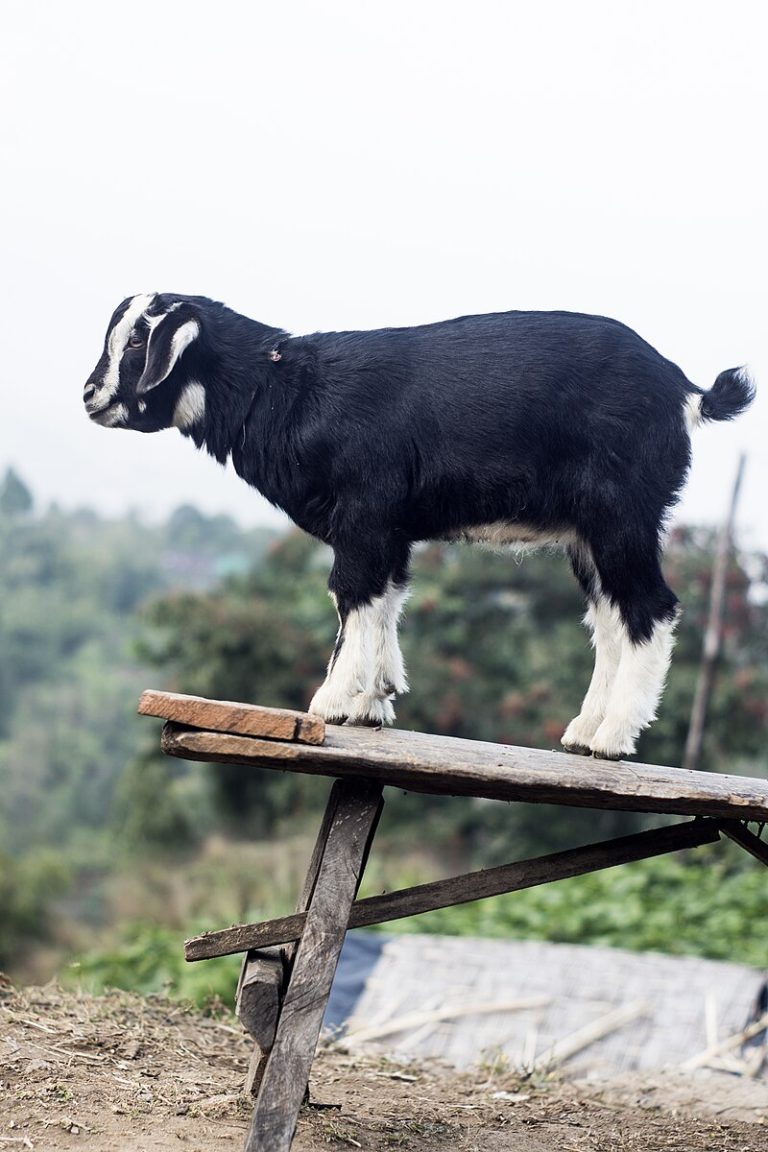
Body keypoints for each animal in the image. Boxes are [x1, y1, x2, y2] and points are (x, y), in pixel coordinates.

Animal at [83, 293, 754, 758]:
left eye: (139, 342)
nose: (90, 394)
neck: (286, 390)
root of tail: (685, 389)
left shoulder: (364, 514)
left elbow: (353, 595)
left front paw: (331, 702)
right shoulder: (385, 528)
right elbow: (382, 601)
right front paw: (373, 701)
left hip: (621, 512)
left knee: (650, 608)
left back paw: (613, 736)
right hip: (589, 532)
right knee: (612, 619)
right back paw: (584, 731)